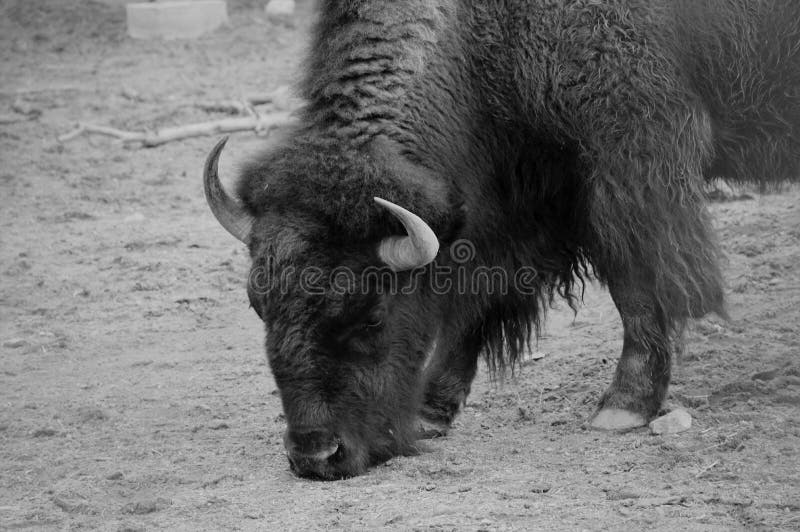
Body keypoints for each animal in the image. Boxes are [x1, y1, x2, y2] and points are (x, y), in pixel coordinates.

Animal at [204, 0, 800, 479]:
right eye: (258, 306)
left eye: (372, 314)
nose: (315, 455)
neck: (486, 29)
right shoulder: (527, 187)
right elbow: (481, 292)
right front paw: (431, 412)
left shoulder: (622, 161)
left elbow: (632, 281)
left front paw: (622, 408)